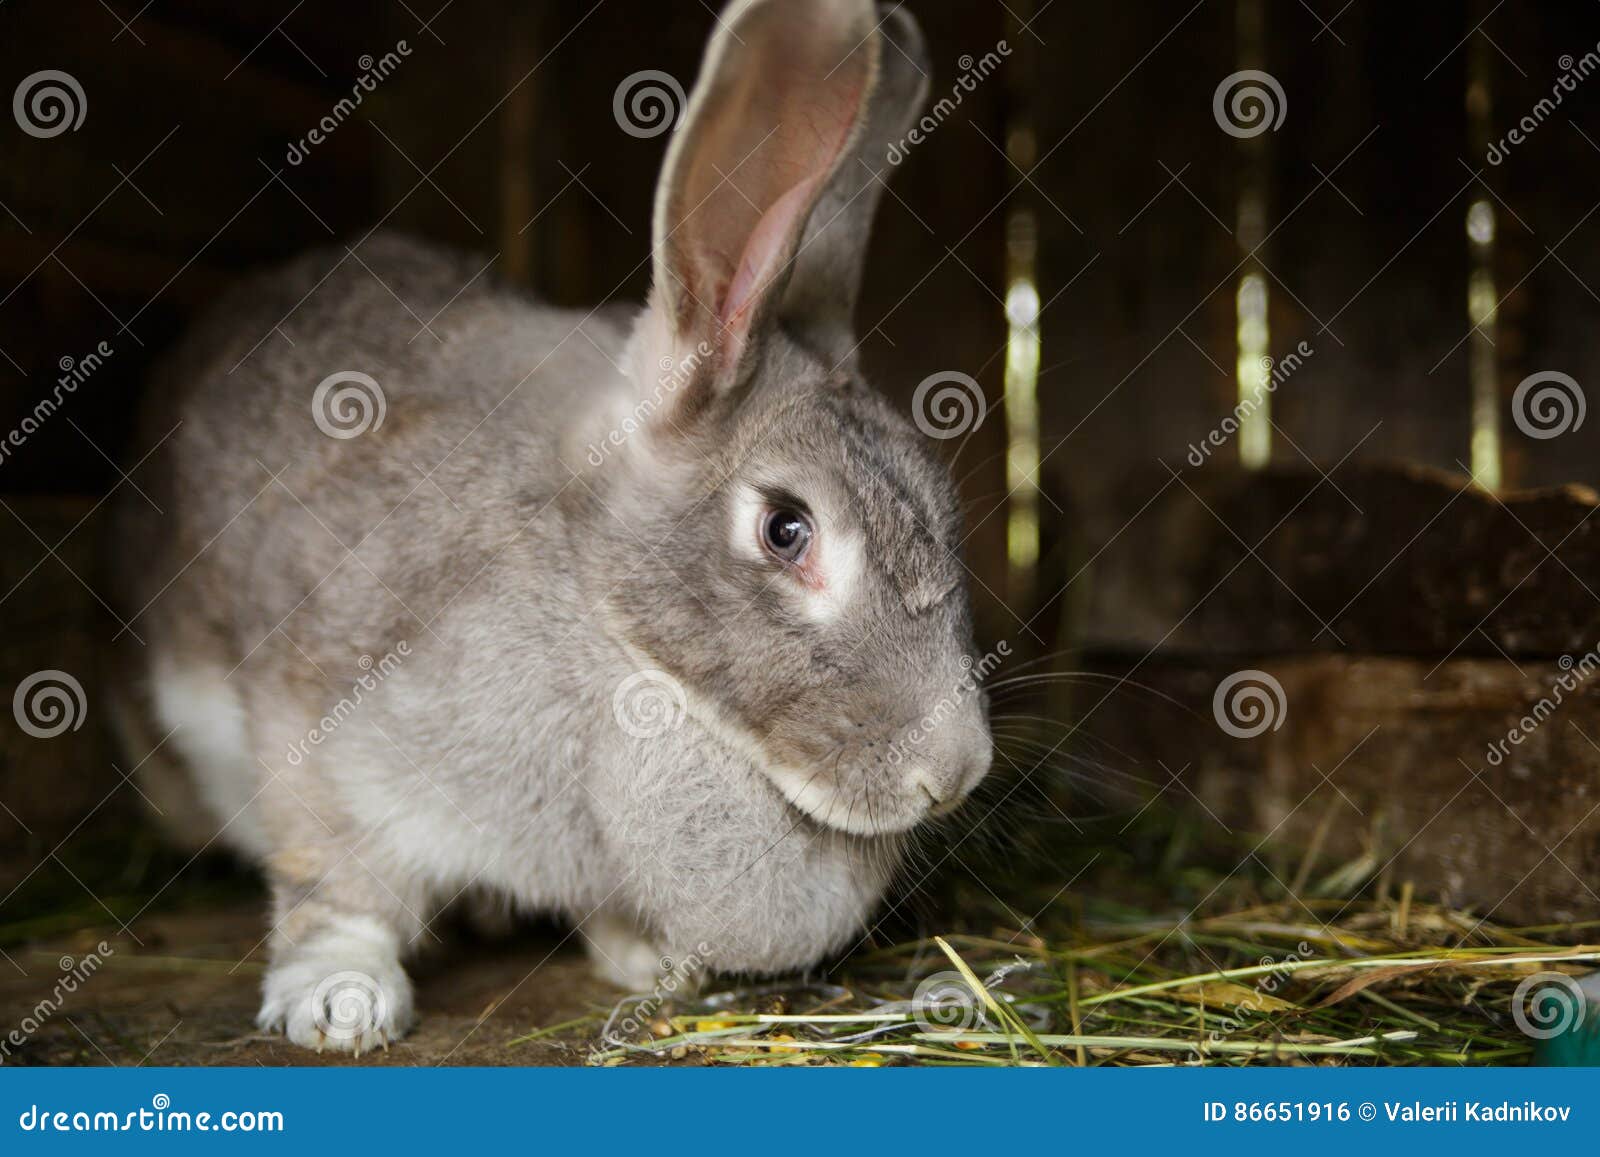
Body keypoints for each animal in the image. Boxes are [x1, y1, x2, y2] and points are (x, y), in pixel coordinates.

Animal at [110, 0, 994, 1053]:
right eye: (787, 529)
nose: (956, 772)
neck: (599, 612)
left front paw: (647, 960)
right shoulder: (317, 730)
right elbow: (337, 880)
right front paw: (338, 1001)